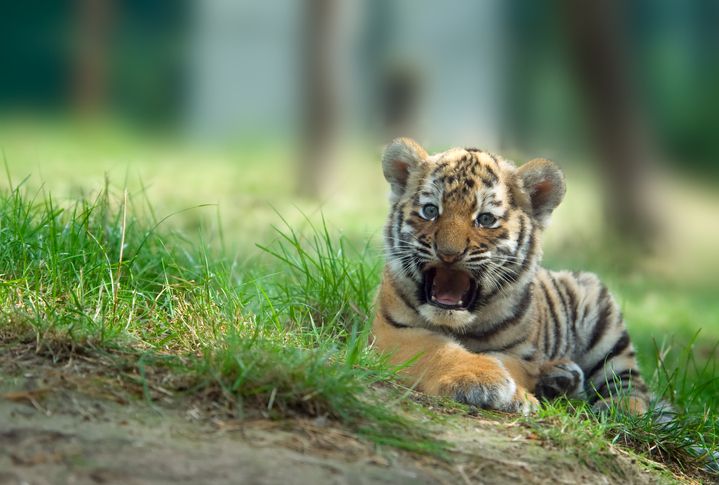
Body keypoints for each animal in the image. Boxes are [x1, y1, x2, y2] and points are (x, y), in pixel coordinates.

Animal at [371, 137, 651, 415]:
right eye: (430, 211)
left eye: (485, 219)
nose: (448, 254)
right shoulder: (390, 331)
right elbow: (438, 349)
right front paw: (485, 380)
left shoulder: (524, 354)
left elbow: (509, 361)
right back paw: (561, 377)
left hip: (603, 320)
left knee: (631, 383)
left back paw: (619, 407)